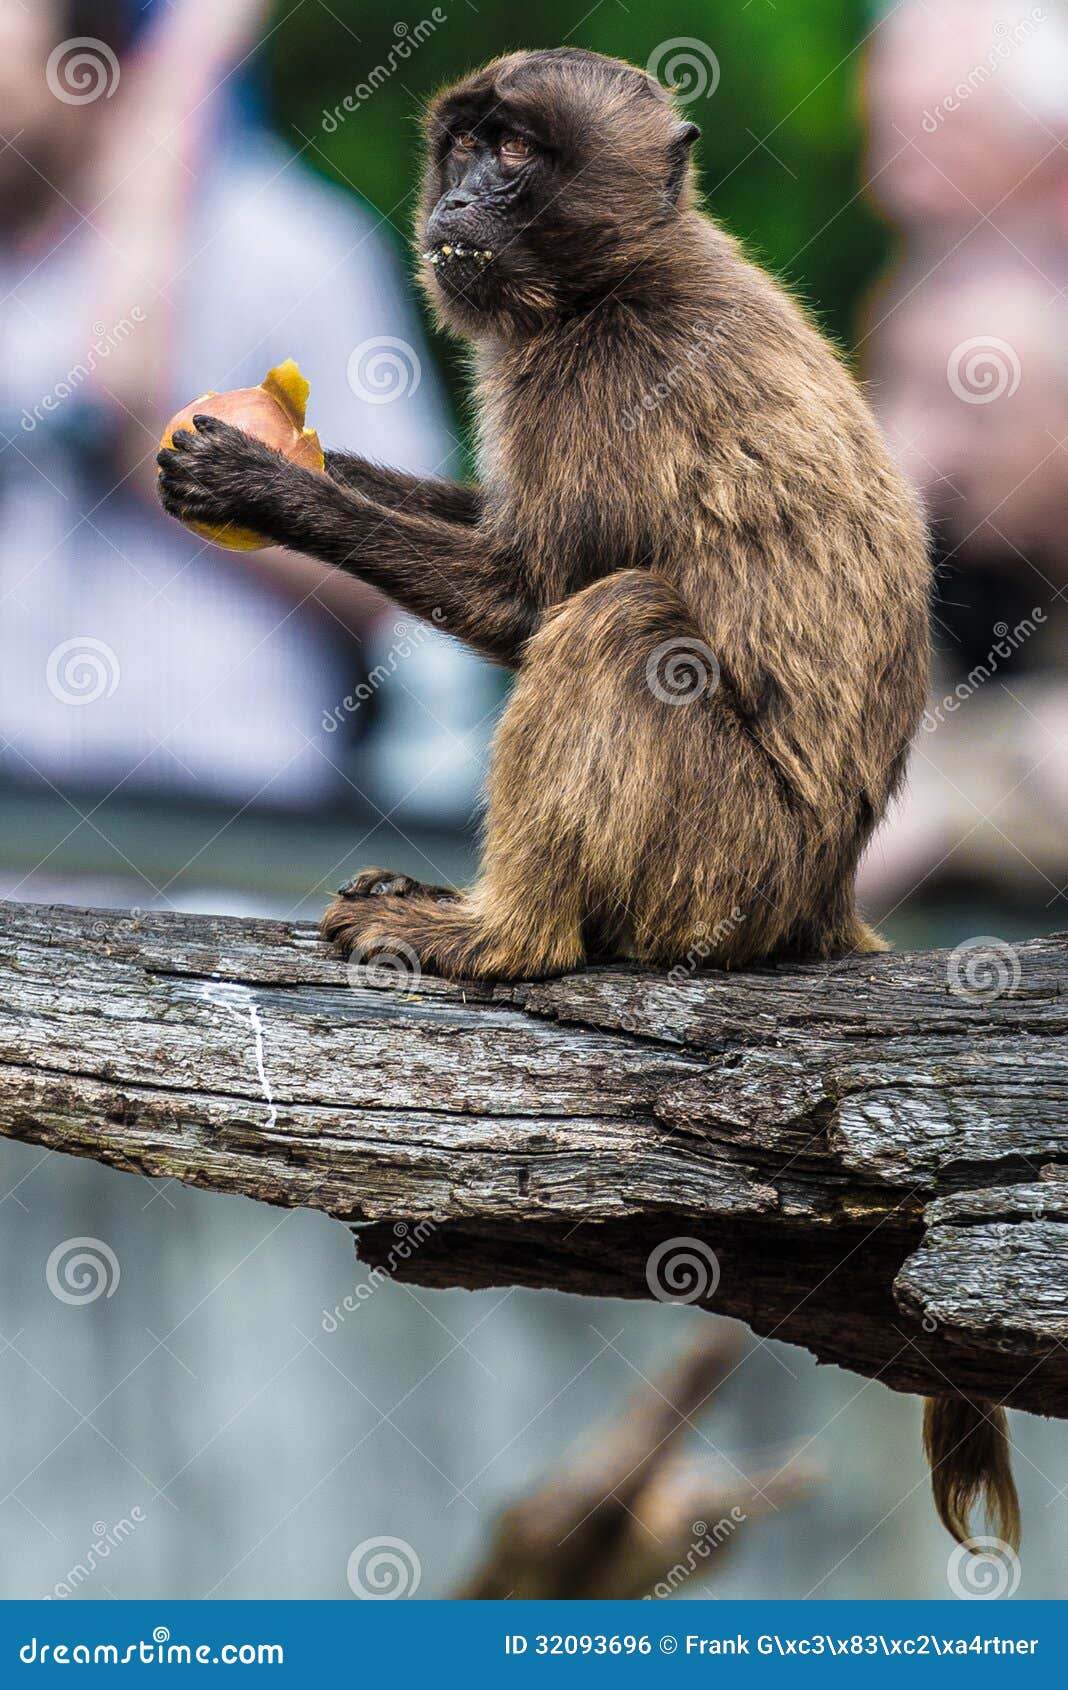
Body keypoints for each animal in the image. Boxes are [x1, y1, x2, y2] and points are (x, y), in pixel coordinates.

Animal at [157, 46, 1016, 1549]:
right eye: (466, 147)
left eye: (515, 155)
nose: (456, 200)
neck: (619, 277)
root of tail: (830, 891)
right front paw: (300, 457)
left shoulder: (609, 379)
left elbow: (529, 594)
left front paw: (265, 482)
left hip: (727, 864)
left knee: (625, 621)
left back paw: (508, 935)